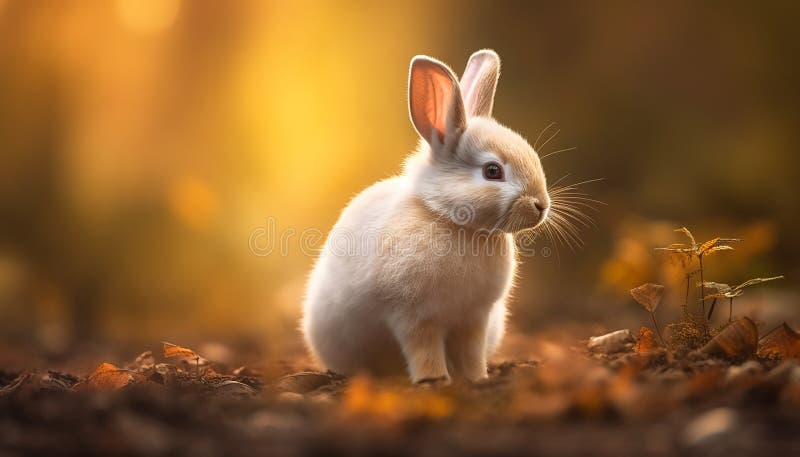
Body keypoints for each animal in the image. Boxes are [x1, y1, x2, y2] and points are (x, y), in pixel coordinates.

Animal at [302, 50, 550, 383]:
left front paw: (476, 379)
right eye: (492, 171)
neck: (454, 222)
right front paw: (434, 381)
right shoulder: (414, 316)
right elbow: (424, 350)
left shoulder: (474, 318)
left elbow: (471, 353)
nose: (541, 205)